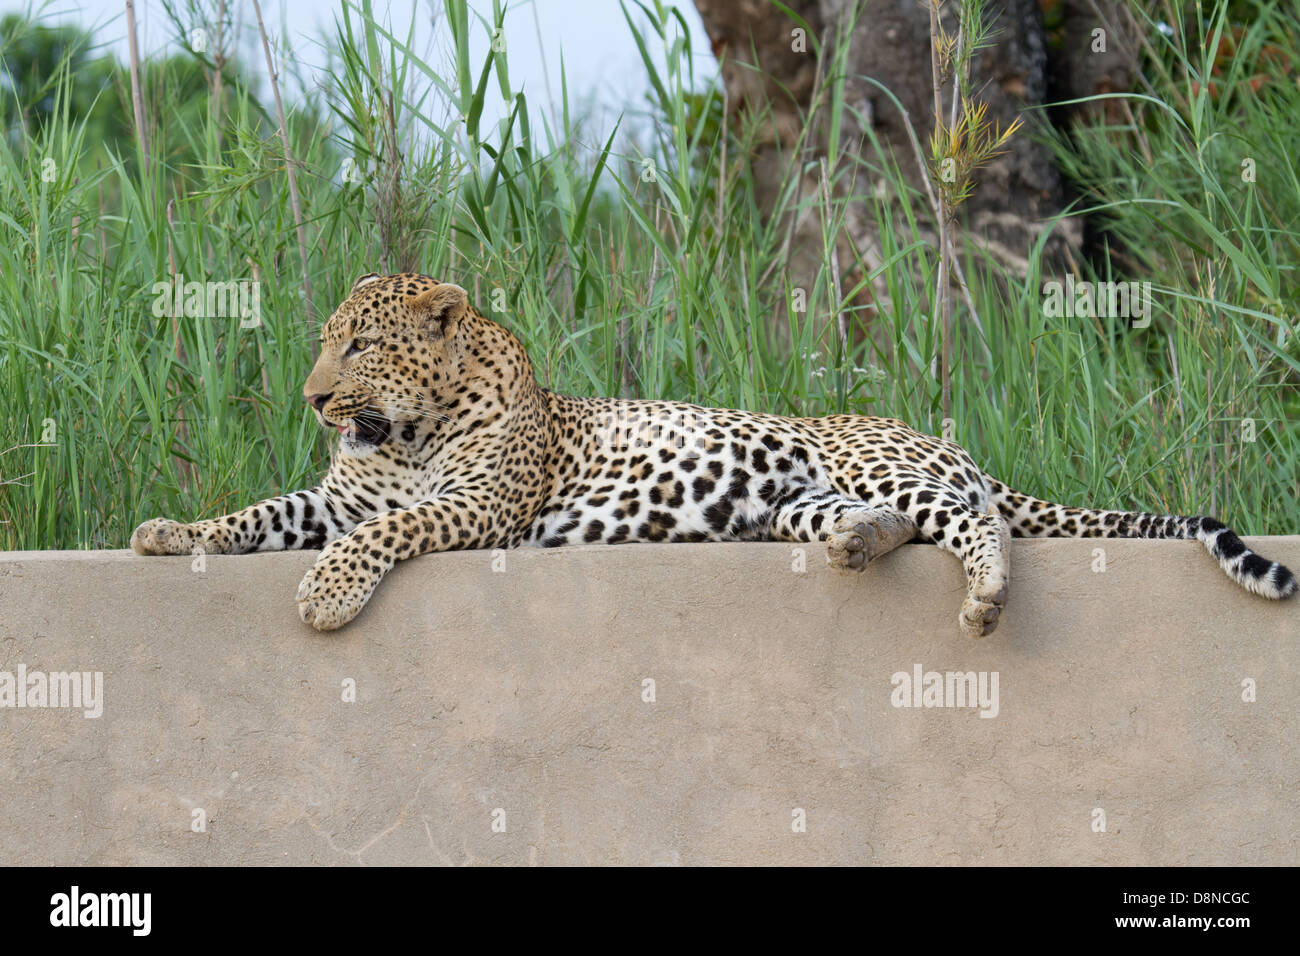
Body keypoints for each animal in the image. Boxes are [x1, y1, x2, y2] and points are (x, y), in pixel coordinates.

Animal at [132, 272, 1297, 636]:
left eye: (361, 347)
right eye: (328, 343)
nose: (315, 396)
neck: (409, 431)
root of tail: (941, 437)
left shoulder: (479, 511)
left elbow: (392, 530)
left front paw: (327, 595)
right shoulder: (332, 499)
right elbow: (260, 514)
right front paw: (168, 530)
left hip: (884, 467)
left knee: (977, 526)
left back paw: (984, 601)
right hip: (791, 500)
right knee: (878, 525)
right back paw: (858, 549)